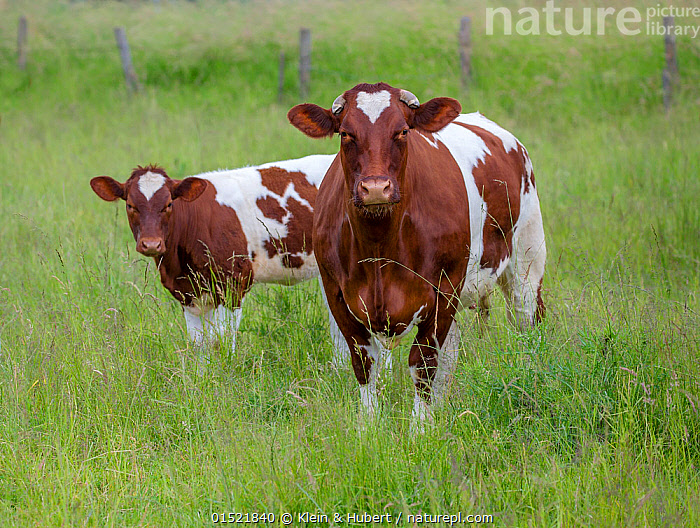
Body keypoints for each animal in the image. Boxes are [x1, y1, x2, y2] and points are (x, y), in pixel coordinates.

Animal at [90, 155, 350, 360]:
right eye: (130, 205)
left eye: (169, 203)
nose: (151, 243)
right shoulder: (188, 293)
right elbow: (198, 343)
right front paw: (201, 378)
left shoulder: (235, 283)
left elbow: (221, 339)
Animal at [288, 82, 546, 429]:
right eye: (345, 133)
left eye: (402, 131)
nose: (375, 188)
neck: (380, 252)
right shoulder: (337, 294)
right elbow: (364, 362)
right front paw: (369, 425)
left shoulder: (443, 290)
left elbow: (423, 363)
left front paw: (420, 428)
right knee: (451, 353)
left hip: (526, 260)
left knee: (526, 323)